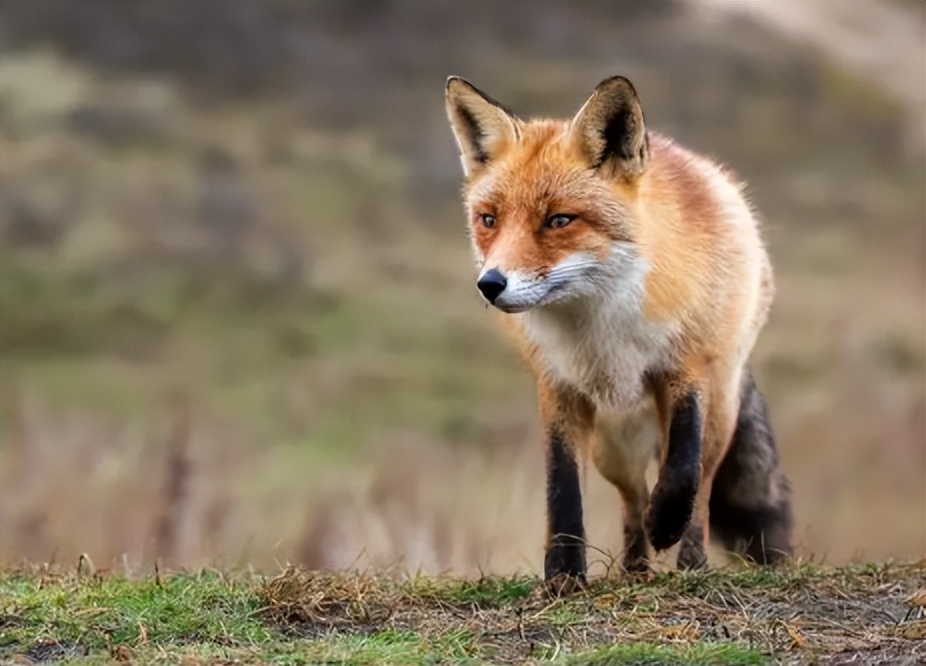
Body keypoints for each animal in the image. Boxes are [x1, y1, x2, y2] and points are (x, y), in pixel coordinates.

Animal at [444, 75, 793, 586]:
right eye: (489, 220)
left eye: (559, 220)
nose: (490, 284)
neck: (601, 332)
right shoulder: (559, 385)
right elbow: (562, 488)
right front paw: (564, 576)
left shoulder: (684, 367)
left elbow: (683, 469)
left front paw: (667, 524)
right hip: (613, 443)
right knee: (633, 498)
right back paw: (635, 570)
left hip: (720, 410)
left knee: (702, 486)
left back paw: (688, 562)